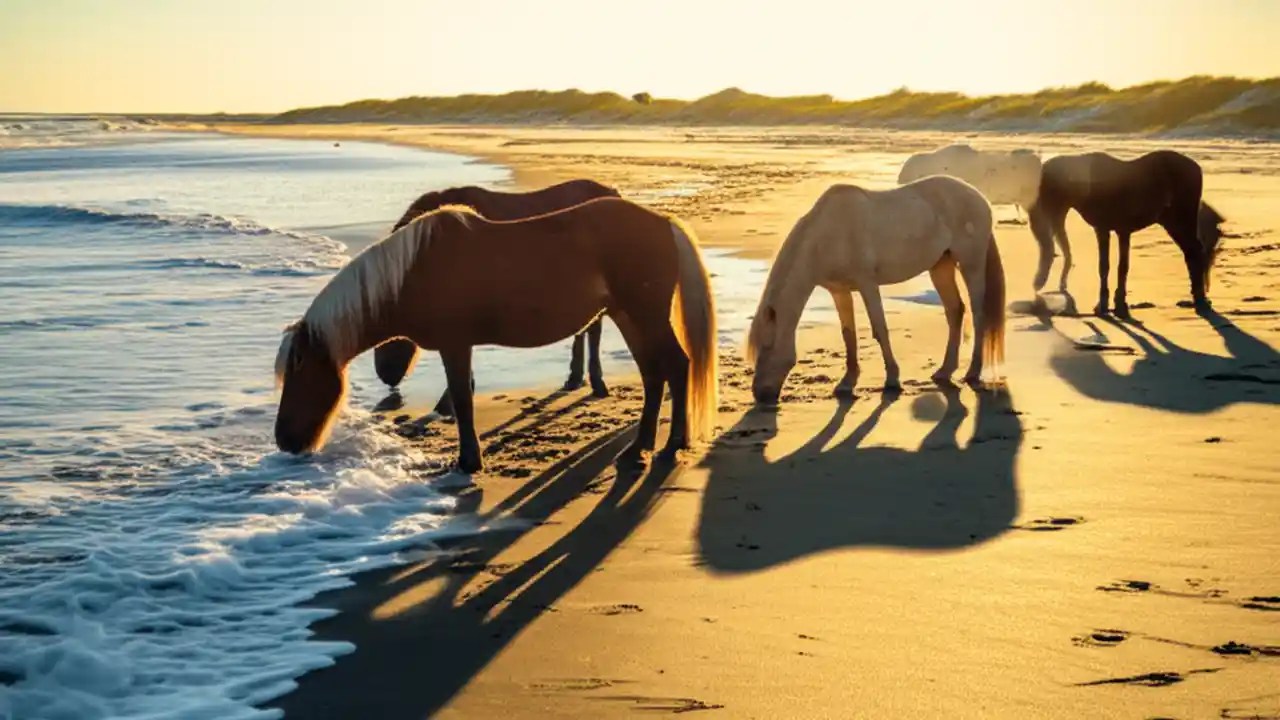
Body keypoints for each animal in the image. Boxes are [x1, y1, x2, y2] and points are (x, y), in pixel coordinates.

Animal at [747, 176, 1006, 404]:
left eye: (767, 346)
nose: (760, 395)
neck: (826, 235)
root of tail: (980, 198)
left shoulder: (867, 284)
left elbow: (880, 328)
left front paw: (892, 380)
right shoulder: (839, 291)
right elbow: (848, 334)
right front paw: (847, 383)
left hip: (971, 264)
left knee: (978, 313)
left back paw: (972, 372)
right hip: (941, 266)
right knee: (955, 310)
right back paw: (944, 371)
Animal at [1027, 150, 1225, 317]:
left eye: (1047, 186)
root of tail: (1196, 168)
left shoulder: (1119, 229)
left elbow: (1120, 266)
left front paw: (1115, 304)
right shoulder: (1106, 229)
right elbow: (1107, 266)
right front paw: (1109, 304)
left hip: (1182, 219)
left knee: (1195, 251)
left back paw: (1200, 298)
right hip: (1173, 222)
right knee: (1191, 252)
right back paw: (1198, 297)